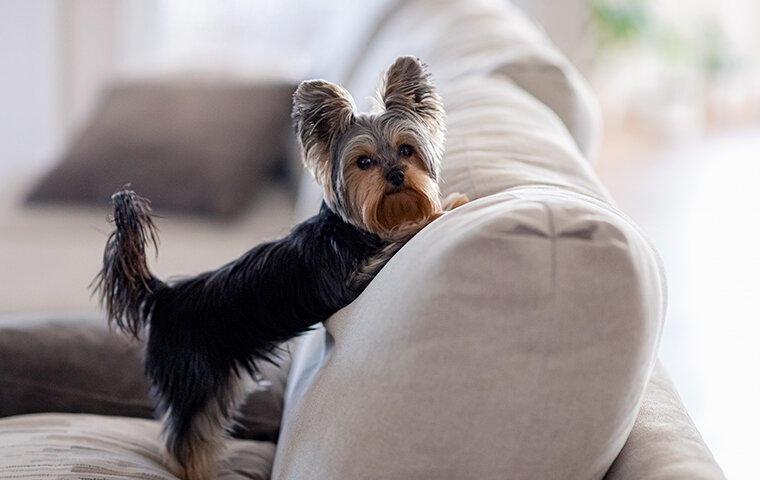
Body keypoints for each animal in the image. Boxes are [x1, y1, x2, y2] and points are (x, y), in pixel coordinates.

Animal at [93, 57, 466, 480]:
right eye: (364, 162)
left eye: (406, 150)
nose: (396, 175)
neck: (354, 229)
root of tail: (164, 295)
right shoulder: (352, 277)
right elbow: (402, 235)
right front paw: (442, 210)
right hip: (195, 380)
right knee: (185, 439)